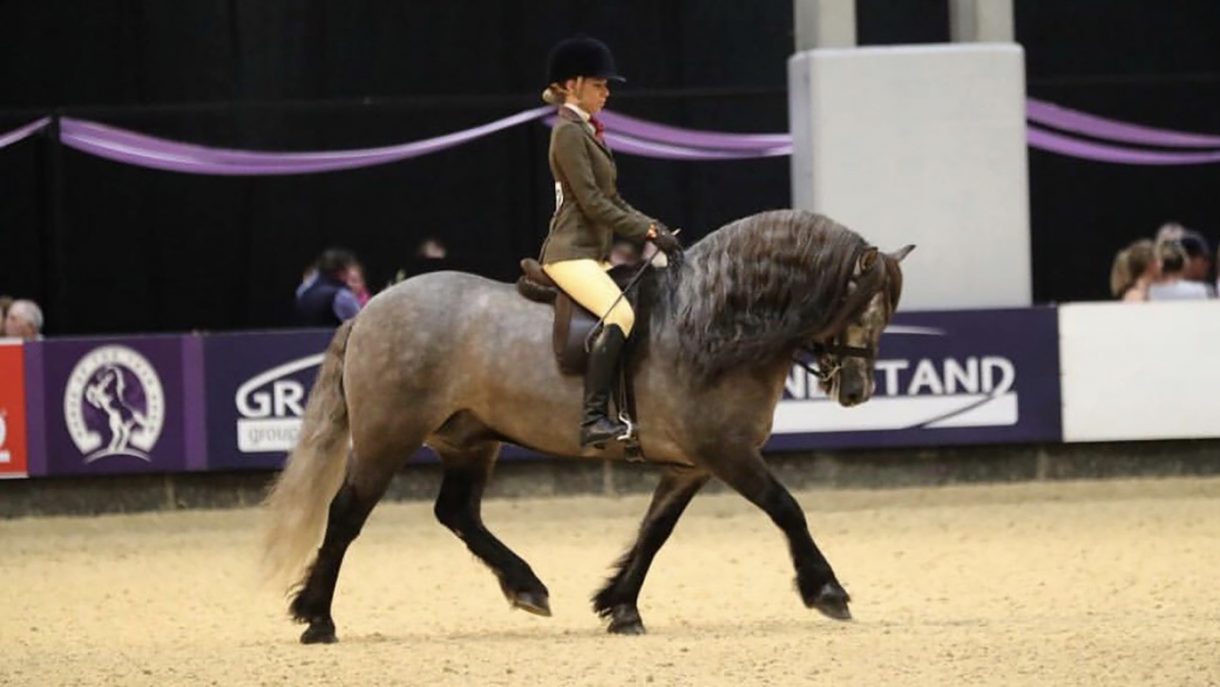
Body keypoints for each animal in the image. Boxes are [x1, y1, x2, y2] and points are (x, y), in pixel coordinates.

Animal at [262, 209, 912, 643]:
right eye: (859, 309)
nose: (856, 391)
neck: (713, 324)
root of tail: (373, 309)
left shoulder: (689, 465)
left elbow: (655, 532)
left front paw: (620, 607)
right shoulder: (726, 453)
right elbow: (787, 508)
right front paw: (828, 592)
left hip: (469, 440)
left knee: (457, 512)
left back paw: (527, 587)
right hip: (386, 437)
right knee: (347, 514)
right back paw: (317, 618)